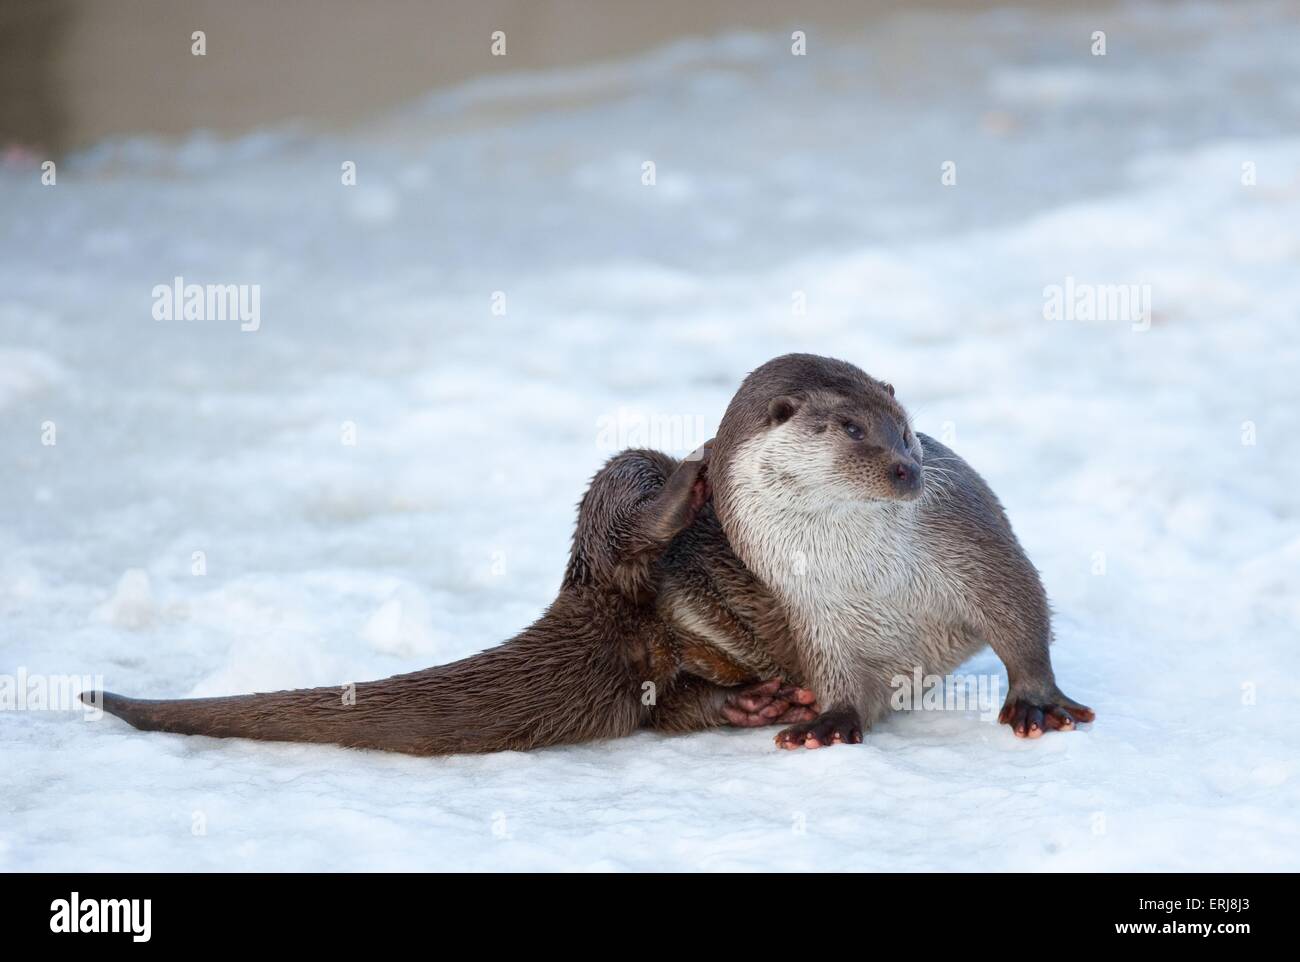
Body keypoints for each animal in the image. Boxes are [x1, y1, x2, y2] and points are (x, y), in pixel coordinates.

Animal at [709, 353, 1094, 749]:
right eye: (853, 429)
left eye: (905, 432)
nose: (907, 469)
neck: (872, 582)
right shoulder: (811, 612)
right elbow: (835, 673)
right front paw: (829, 723)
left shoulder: (970, 541)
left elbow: (1020, 615)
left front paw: (1037, 702)